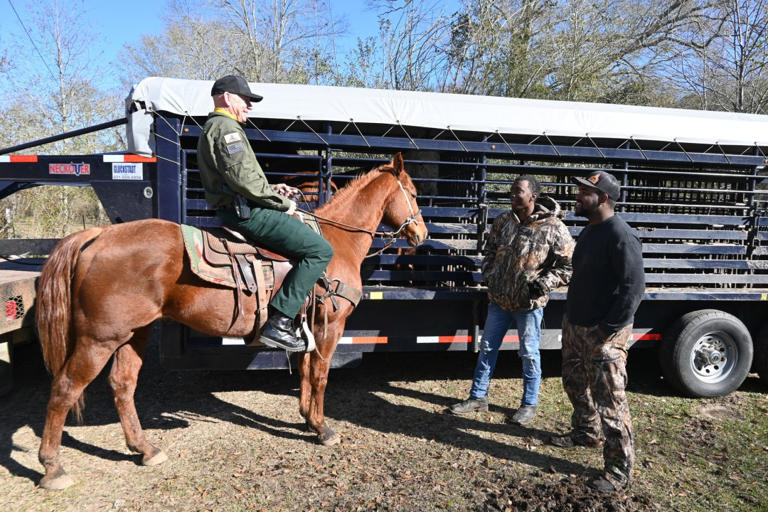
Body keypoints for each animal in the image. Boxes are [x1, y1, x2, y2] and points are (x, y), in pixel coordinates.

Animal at [34, 153, 428, 490]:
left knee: (122, 384)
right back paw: (53, 467)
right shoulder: (330, 327)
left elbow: (303, 371)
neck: (336, 242)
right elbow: (319, 375)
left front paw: (305, 417)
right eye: (411, 193)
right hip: (98, 339)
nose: (421, 234)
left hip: (134, 332)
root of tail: (98, 235)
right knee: (65, 388)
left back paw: (145, 449)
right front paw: (321, 428)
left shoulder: (308, 329)